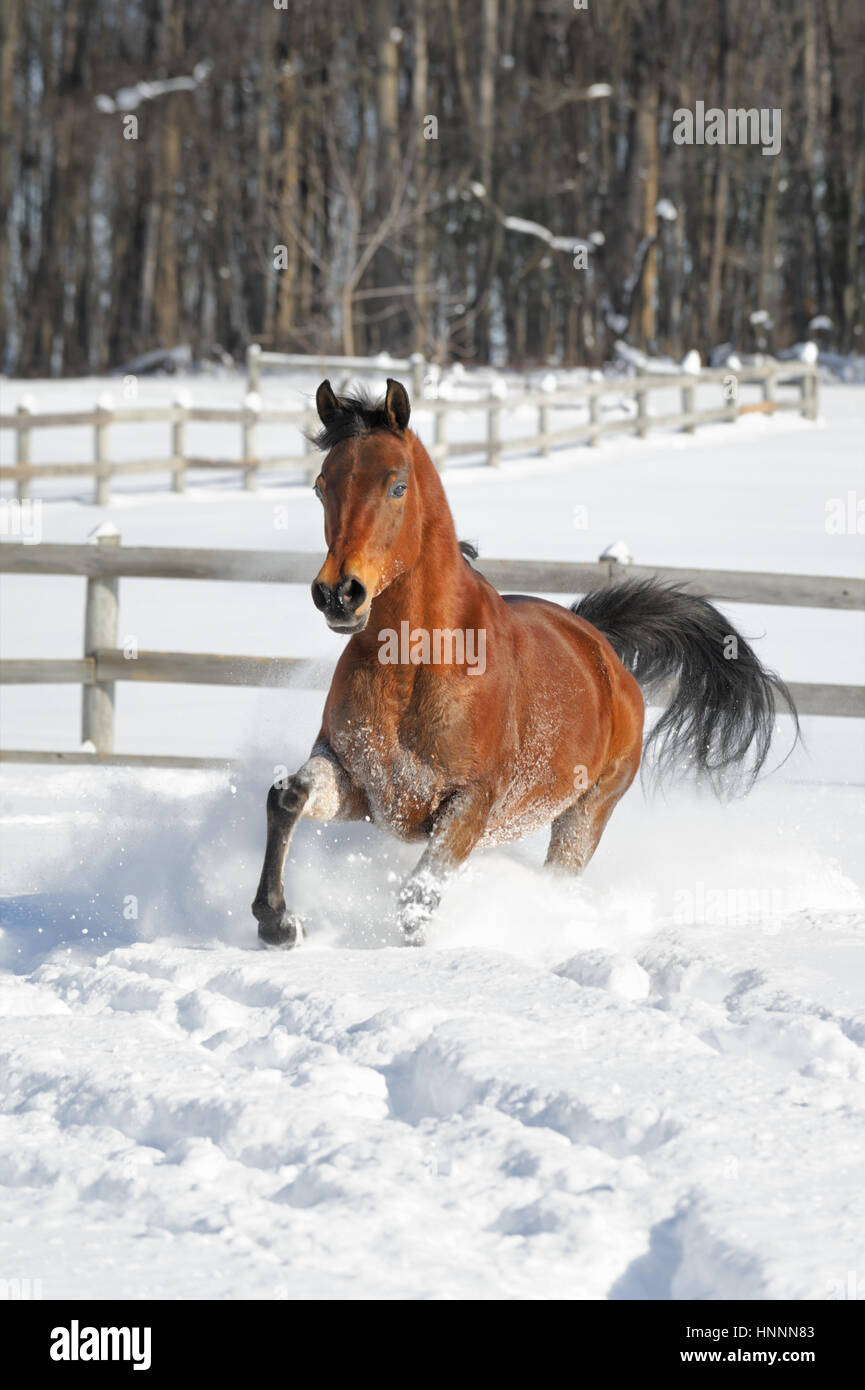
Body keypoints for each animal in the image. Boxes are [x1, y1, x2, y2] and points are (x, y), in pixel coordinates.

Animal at [252, 377, 797, 947]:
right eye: (321, 487)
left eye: (397, 486)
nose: (339, 594)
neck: (412, 668)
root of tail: (601, 649)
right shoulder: (359, 783)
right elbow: (286, 796)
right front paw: (278, 921)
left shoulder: (470, 805)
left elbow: (415, 903)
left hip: (586, 815)